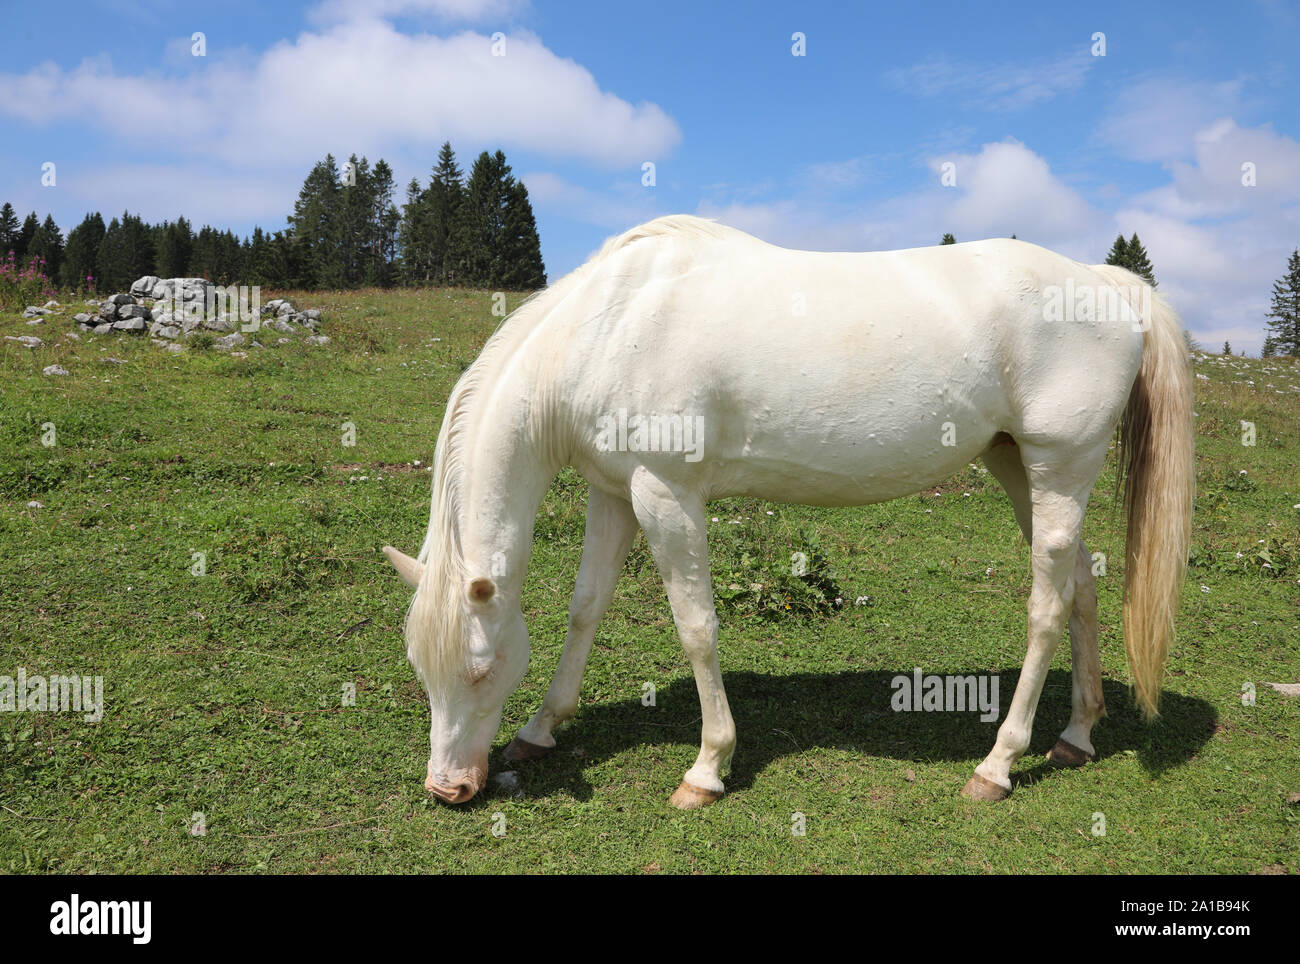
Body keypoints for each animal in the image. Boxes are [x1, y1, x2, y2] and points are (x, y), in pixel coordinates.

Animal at [383, 215, 1194, 808]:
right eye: (422, 669)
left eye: (480, 669)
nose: (449, 788)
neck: (610, 325)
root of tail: (1106, 284)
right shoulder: (613, 492)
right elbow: (586, 607)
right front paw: (540, 728)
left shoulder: (665, 494)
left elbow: (697, 627)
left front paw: (707, 768)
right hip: (1018, 465)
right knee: (1081, 583)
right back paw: (1077, 735)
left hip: (1059, 469)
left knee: (1048, 605)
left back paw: (998, 764)